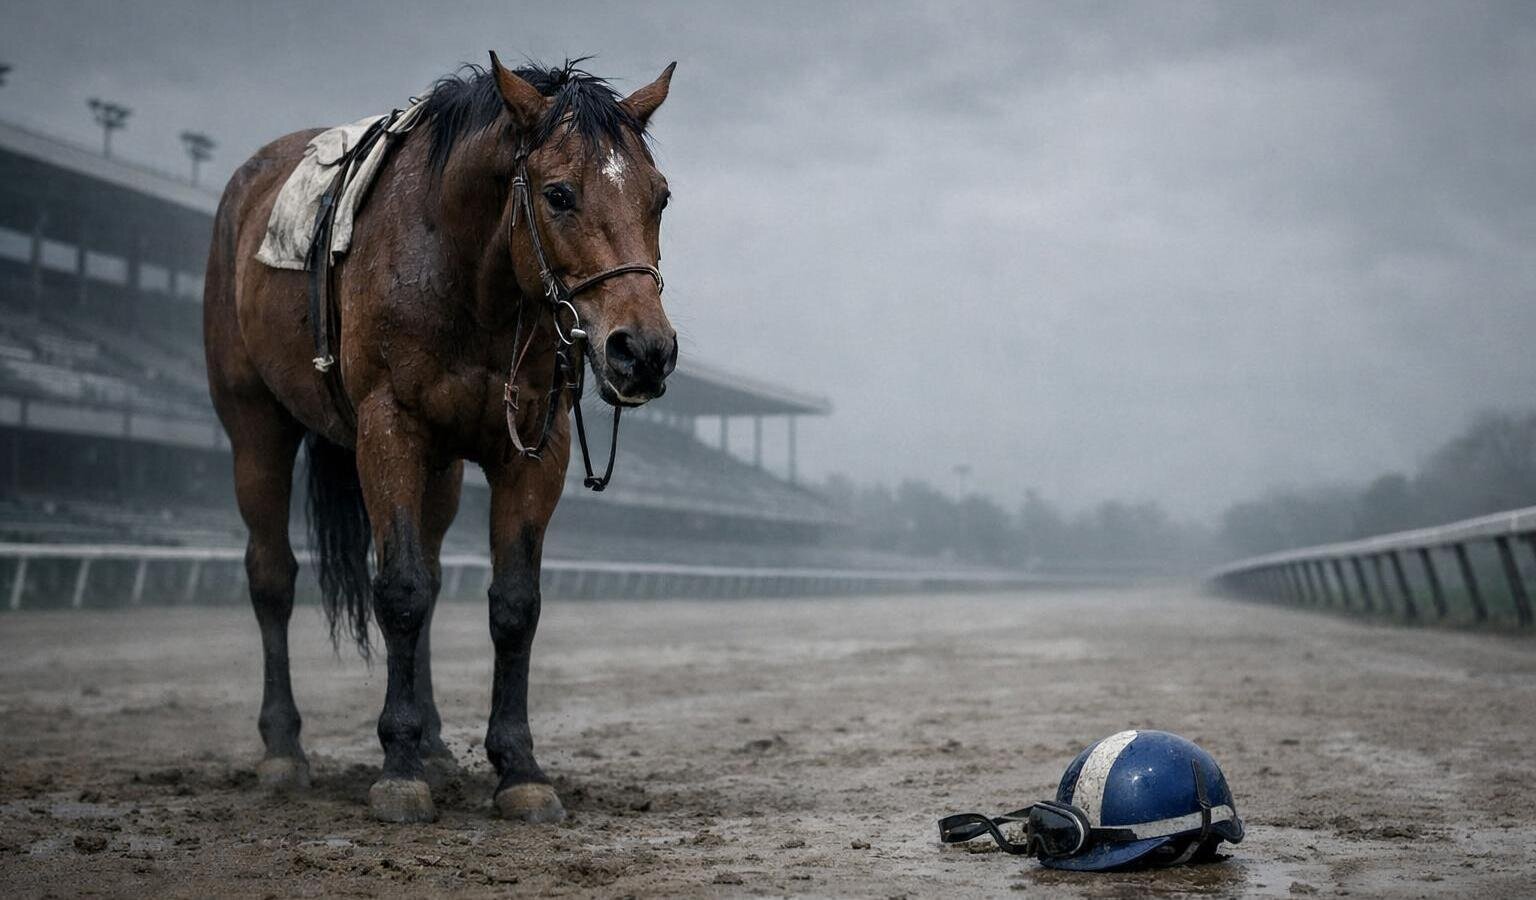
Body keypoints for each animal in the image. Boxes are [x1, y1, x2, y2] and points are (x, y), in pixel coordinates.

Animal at [202, 54, 679, 824]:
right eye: (559, 194)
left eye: (659, 197)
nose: (644, 351)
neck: (465, 275)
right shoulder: (388, 427)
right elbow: (400, 590)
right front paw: (398, 771)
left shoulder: (536, 447)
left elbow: (513, 604)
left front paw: (517, 768)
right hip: (255, 425)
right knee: (272, 575)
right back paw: (284, 749)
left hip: (444, 468)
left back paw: (430, 744)